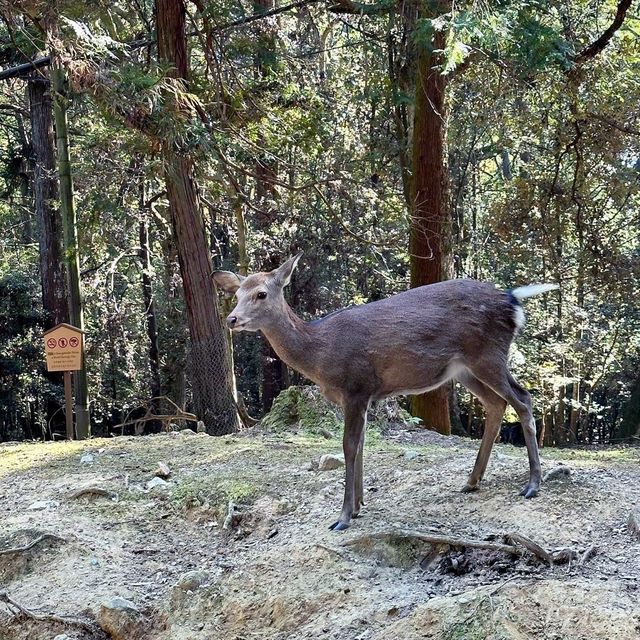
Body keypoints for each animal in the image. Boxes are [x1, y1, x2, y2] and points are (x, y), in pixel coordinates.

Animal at [213, 253, 558, 531]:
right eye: (237, 293)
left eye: (261, 293)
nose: (231, 319)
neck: (320, 354)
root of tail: (511, 298)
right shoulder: (363, 396)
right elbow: (362, 444)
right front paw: (359, 505)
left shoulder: (356, 386)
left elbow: (349, 446)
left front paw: (343, 517)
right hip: (464, 369)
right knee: (497, 404)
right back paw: (472, 481)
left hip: (487, 355)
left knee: (523, 399)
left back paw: (532, 485)